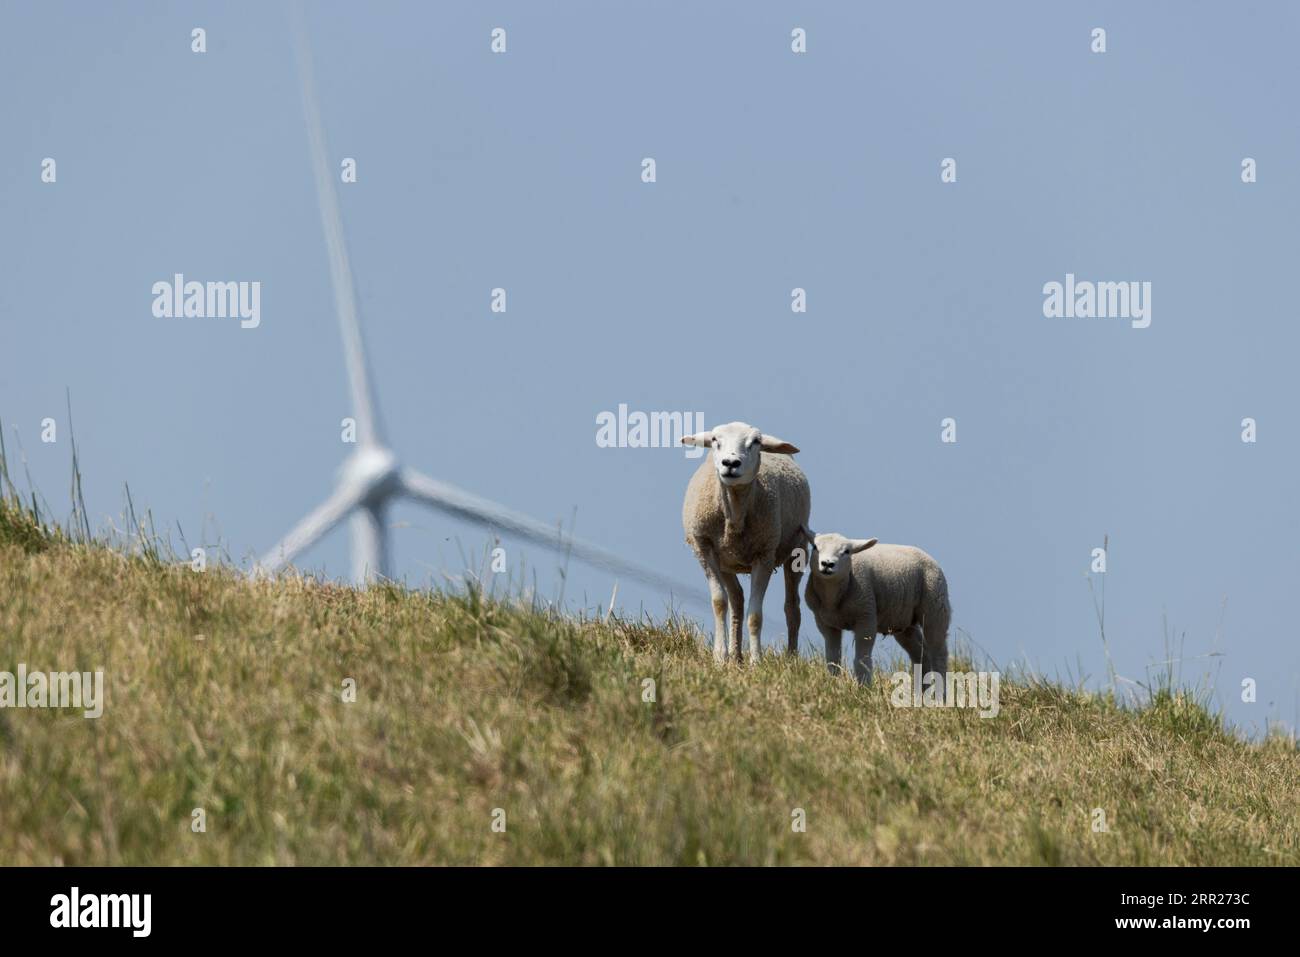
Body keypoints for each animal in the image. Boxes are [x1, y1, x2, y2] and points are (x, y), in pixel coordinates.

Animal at [681, 422, 811, 662]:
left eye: (756, 442)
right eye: (715, 440)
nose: (731, 463)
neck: (734, 512)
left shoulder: (764, 555)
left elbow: (755, 614)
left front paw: (756, 660)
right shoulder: (705, 549)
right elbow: (720, 603)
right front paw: (720, 656)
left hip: (797, 549)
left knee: (792, 607)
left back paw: (790, 657)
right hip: (726, 563)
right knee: (737, 600)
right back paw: (735, 654)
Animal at [800, 528, 950, 687]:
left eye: (846, 551)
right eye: (815, 547)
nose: (827, 564)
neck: (833, 598)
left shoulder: (866, 618)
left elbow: (861, 661)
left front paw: (864, 687)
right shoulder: (826, 624)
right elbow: (833, 660)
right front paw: (834, 684)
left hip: (935, 606)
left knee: (938, 653)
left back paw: (941, 691)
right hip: (902, 620)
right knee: (921, 654)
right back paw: (922, 690)